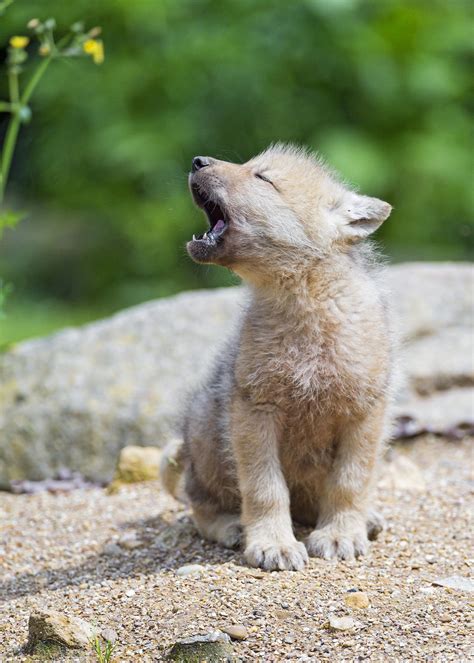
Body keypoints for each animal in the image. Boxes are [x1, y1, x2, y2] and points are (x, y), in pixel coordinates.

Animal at [161, 144, 394, 571]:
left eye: (262, 178)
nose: (198, 161)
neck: (307, 303)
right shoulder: (255, 410)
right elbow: (265, 487)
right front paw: (274, 545)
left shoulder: (364, 411)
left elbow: (349, 482)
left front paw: (339, 534)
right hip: (205, 432)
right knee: (200, 502)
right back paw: (230, 526)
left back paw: (365, 519)